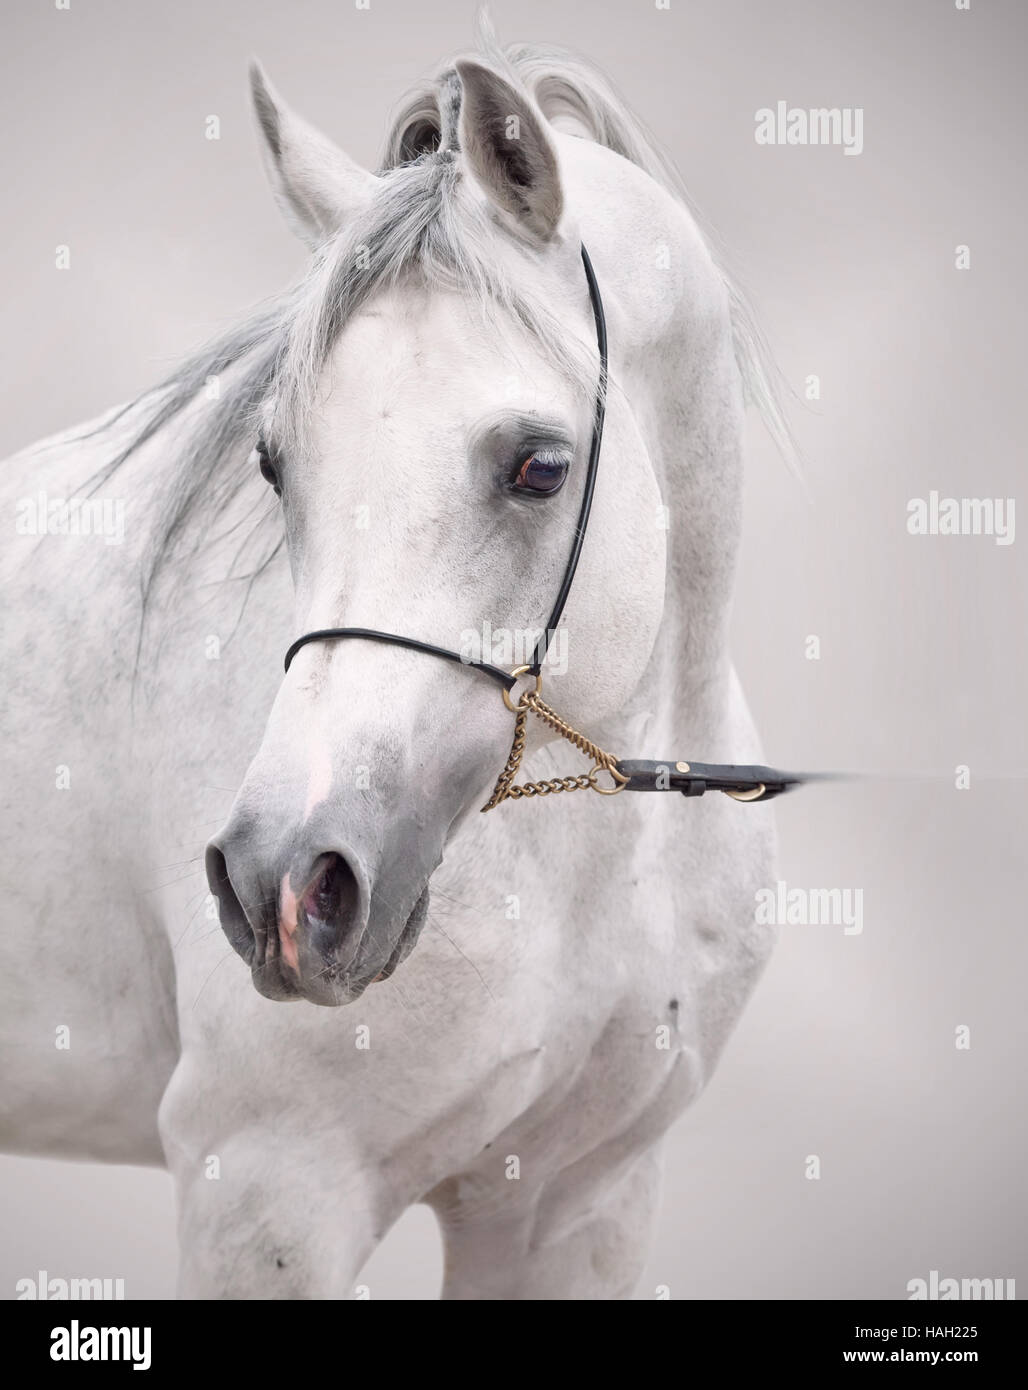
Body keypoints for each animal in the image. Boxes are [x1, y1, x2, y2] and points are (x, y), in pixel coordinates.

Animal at [1, 27, 787, 1299]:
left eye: (538, 466)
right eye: (272, 461)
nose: (282, 883)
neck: (592, 865)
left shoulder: (575, 1201)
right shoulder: (271, 1187)